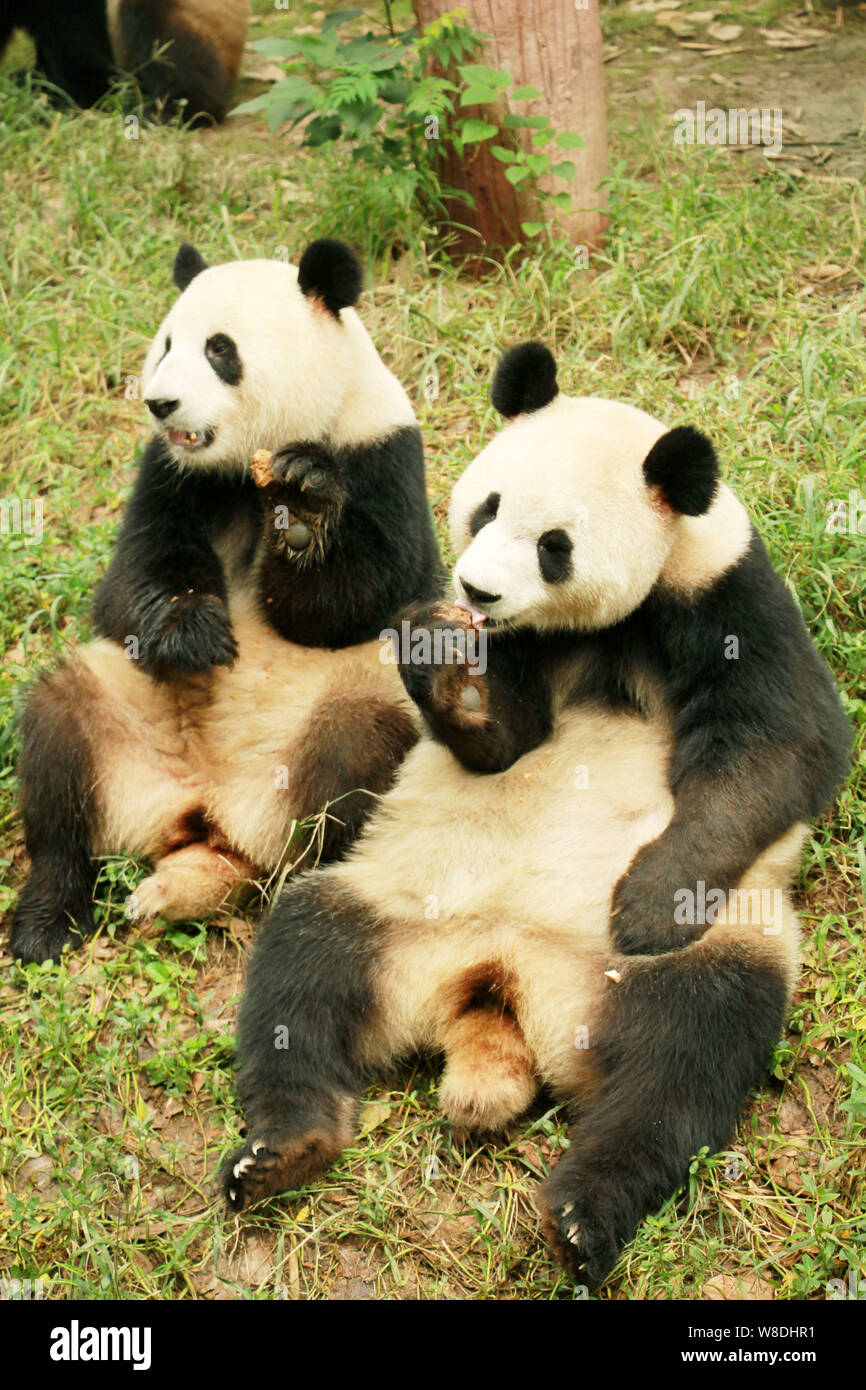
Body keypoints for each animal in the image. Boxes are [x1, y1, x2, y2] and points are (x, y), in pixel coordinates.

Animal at [10, 238, 443, 967]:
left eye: (219, 349)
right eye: (166, 343)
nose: (160, 403)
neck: (245, 469)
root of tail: (205, 808)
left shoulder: (383, 455)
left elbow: (359, 600)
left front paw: (303, 508)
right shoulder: (169, 472)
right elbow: (128, 585)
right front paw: (193, 632)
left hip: (328, 727)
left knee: (353, 757)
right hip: (126, 712)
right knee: (58, 744)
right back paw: (48, 919)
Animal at [219, 343, 850, 1287]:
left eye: (555, 546)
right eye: (486, 506)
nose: (477, 588)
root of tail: (497, 987)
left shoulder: (728, 595)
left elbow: (781, 746)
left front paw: (650, 900)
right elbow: (504, 740)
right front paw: (443, 664)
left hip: (708, 948)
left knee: (686, 1059)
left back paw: (585, 1212)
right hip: (398, 900)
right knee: (304, 964)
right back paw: (285, 1147)